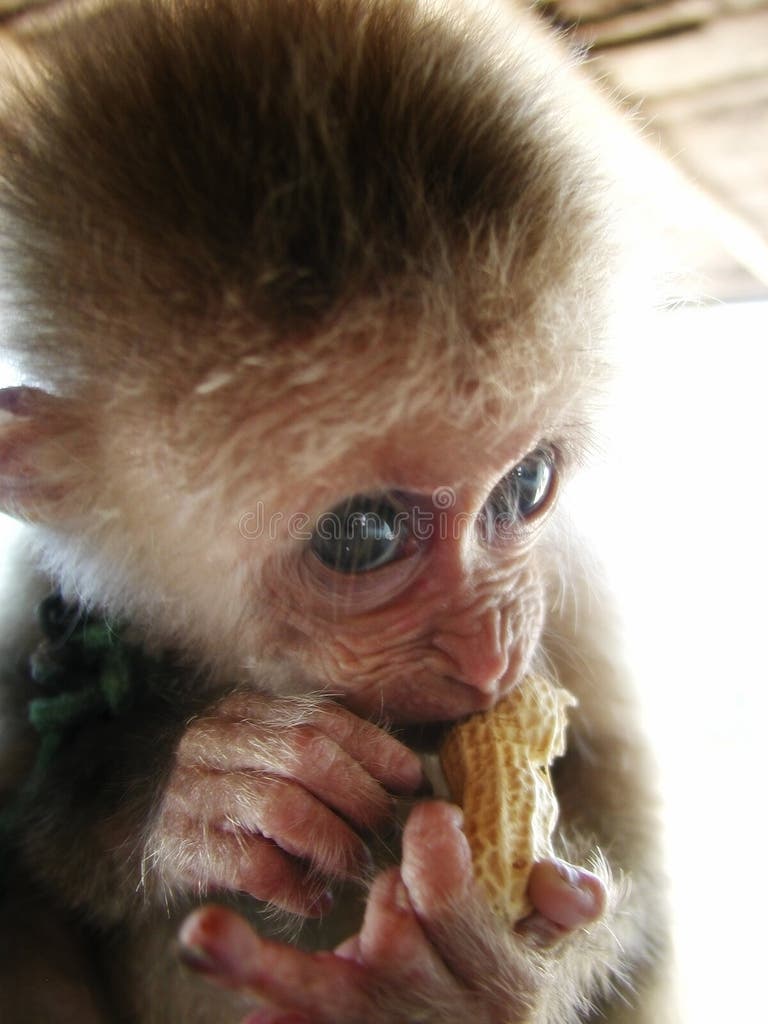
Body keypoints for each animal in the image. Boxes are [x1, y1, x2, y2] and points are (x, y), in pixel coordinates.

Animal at [0, 0, 672, 1021]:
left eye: (527, 485)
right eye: (361, 536)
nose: (491, 653)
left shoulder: (567, 581)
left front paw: (439, 985)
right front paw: (189, 789)